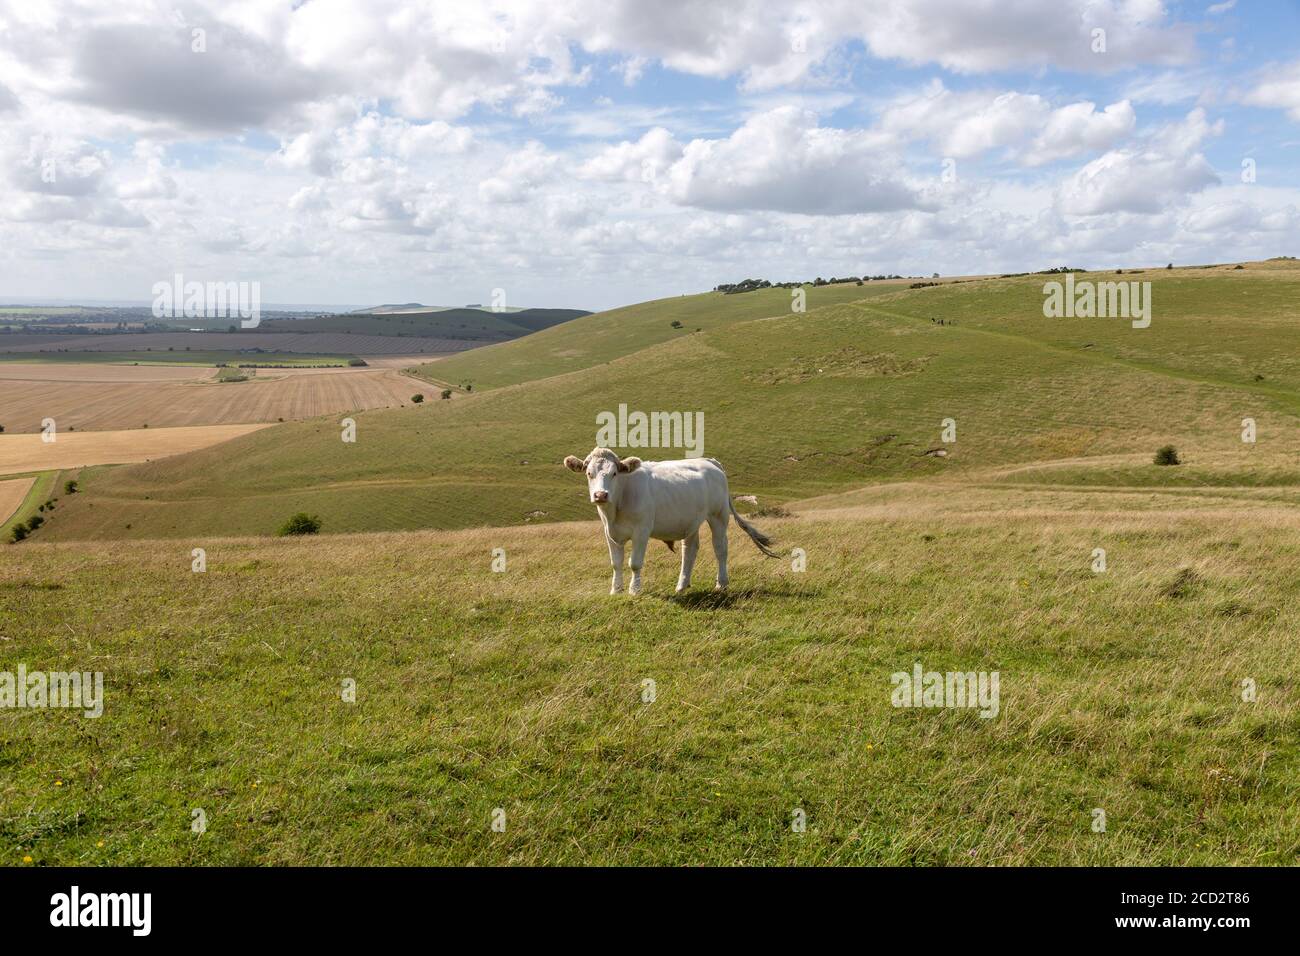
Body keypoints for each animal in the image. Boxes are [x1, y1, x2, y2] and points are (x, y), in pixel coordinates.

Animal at [563, 447, 779, 595]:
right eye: (589, 473)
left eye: (614, 473)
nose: (600, 495)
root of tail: (709, 461)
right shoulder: (610, 533)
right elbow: (616, 563)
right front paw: (615, 591)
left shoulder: (641, 530)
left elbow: (635, 563)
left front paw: (634, 590)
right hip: (691, 520)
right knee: (690, 550)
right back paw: (682, 585)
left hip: (718, 515)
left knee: (720, 548)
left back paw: (721, 583)